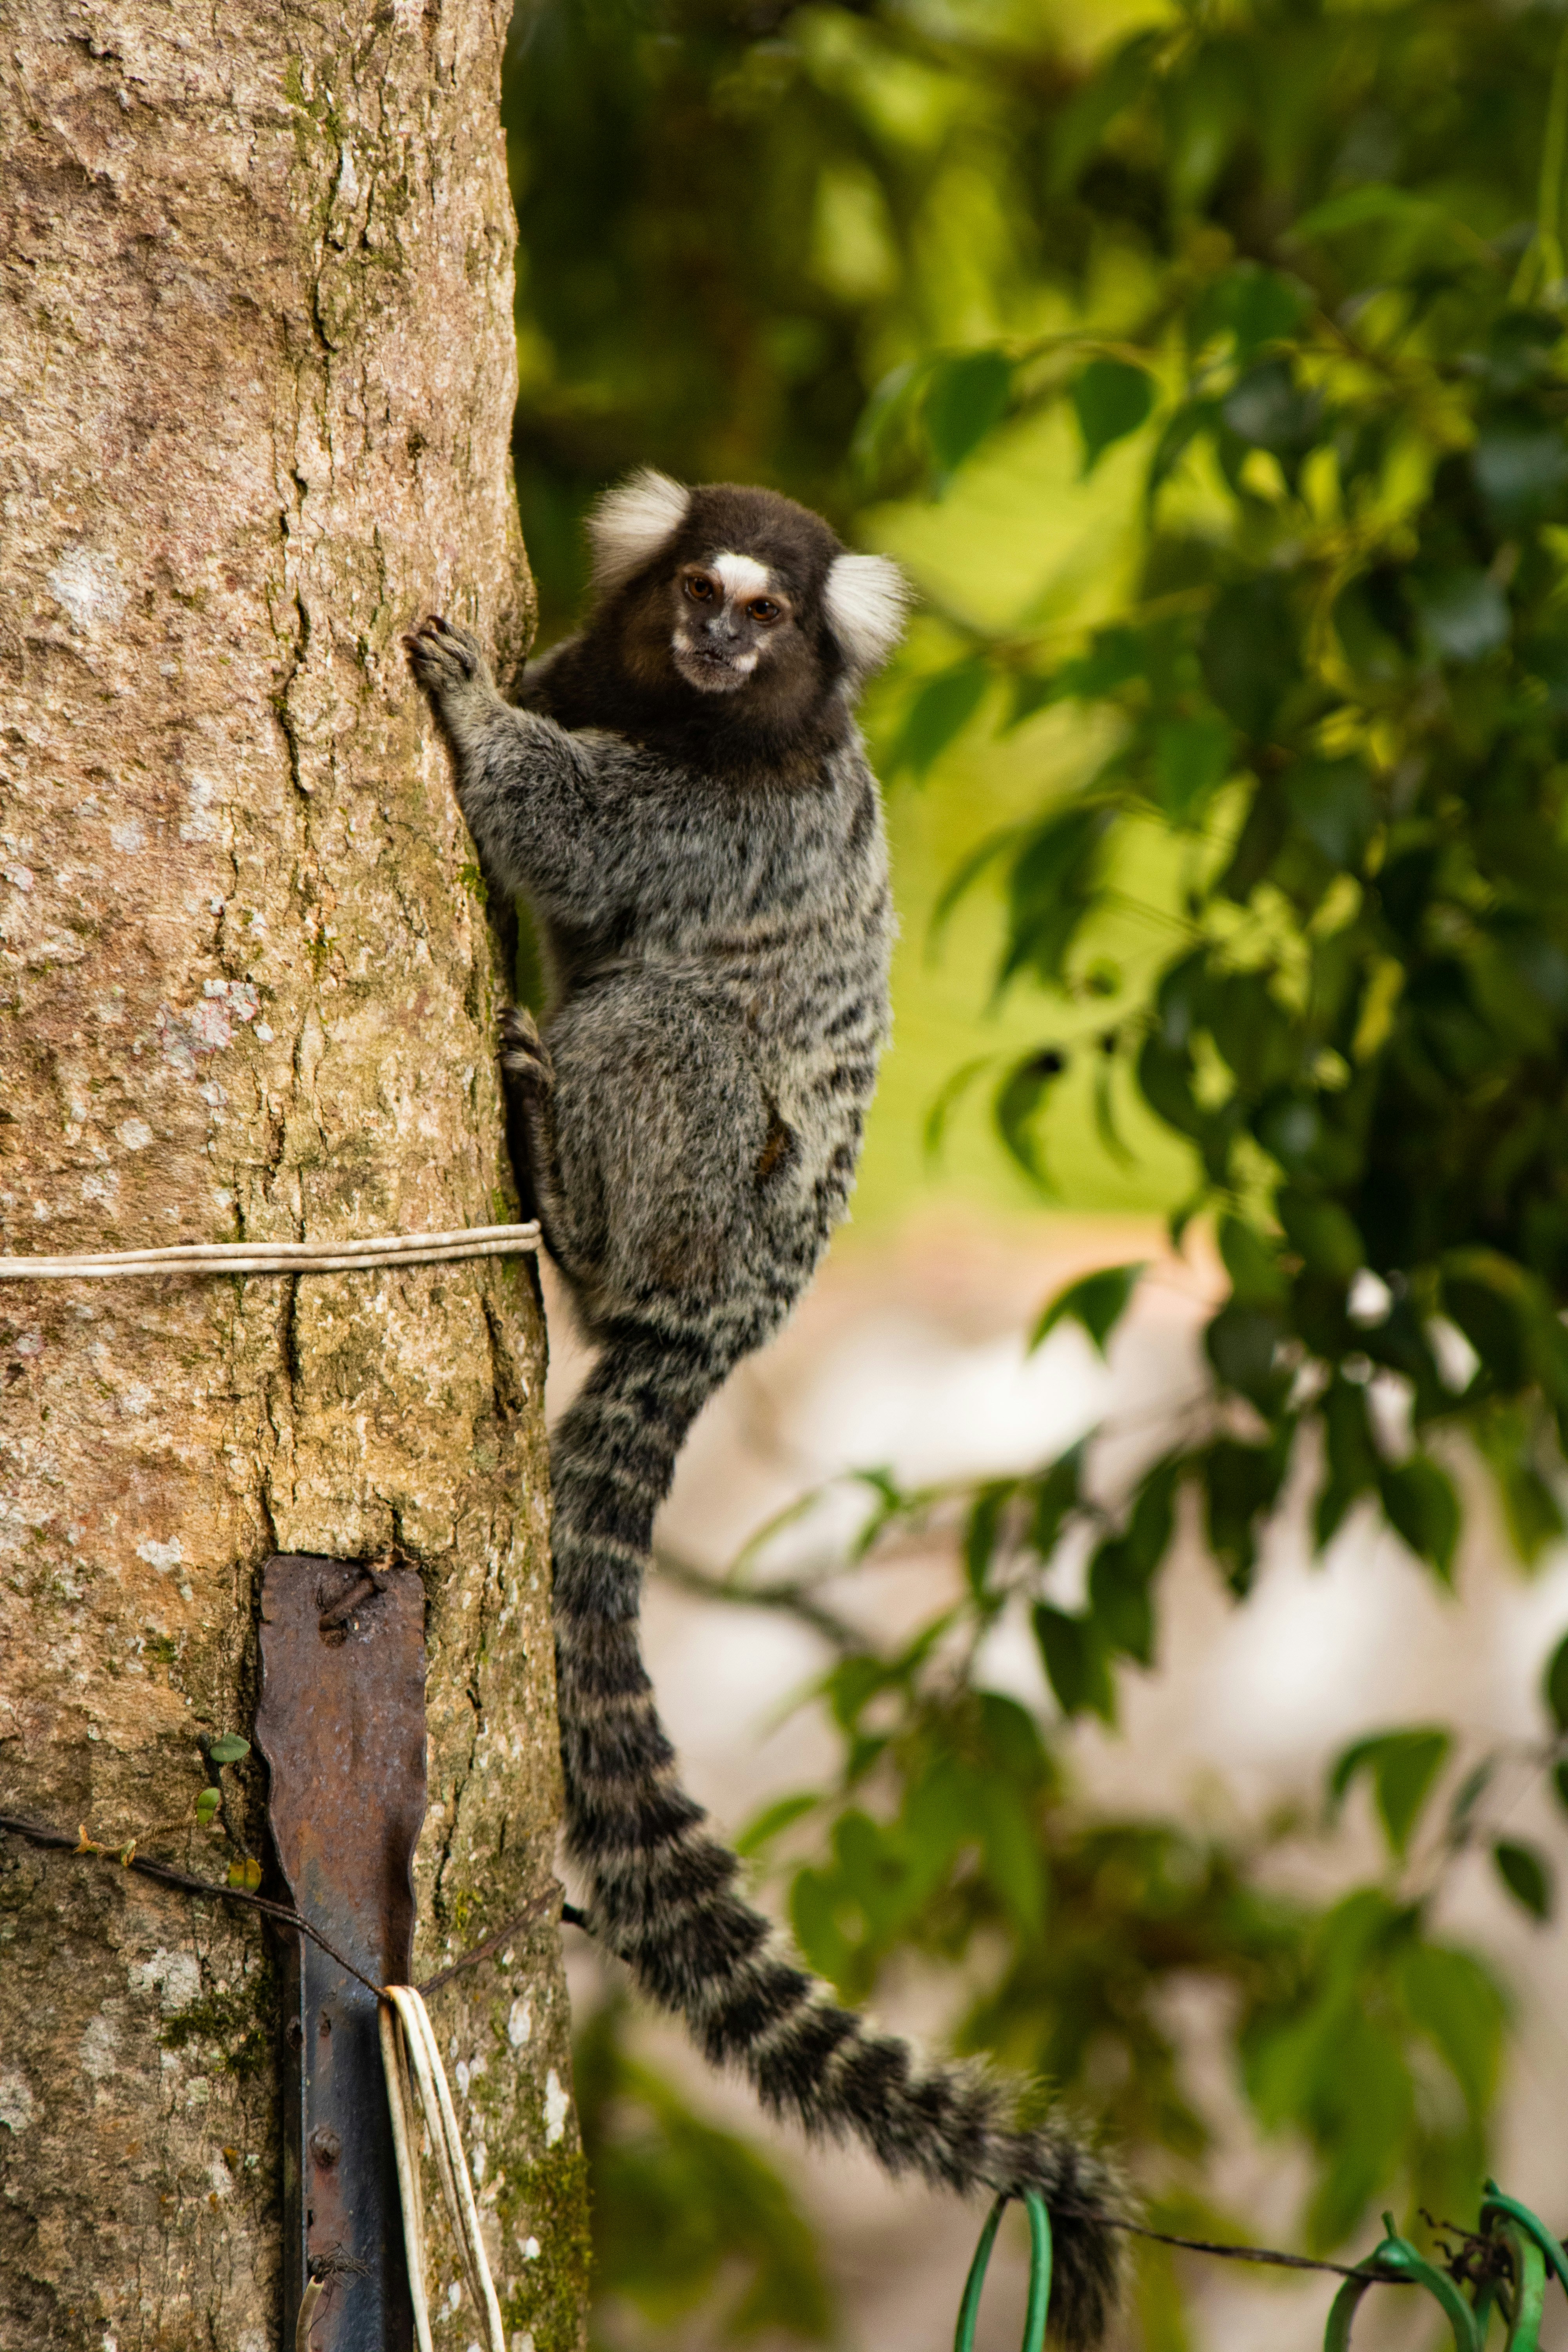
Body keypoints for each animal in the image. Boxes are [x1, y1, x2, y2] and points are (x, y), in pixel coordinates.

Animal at [405, 471, 1123, 2346]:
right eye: (699, 595)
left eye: (767, 617)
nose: (722, 645)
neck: (690, 718)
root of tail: (731, 1315)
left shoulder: (731, 821)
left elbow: (579, 833)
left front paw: (471, 714)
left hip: (712, 1197)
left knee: (667, 1018)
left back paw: (563, 1179)